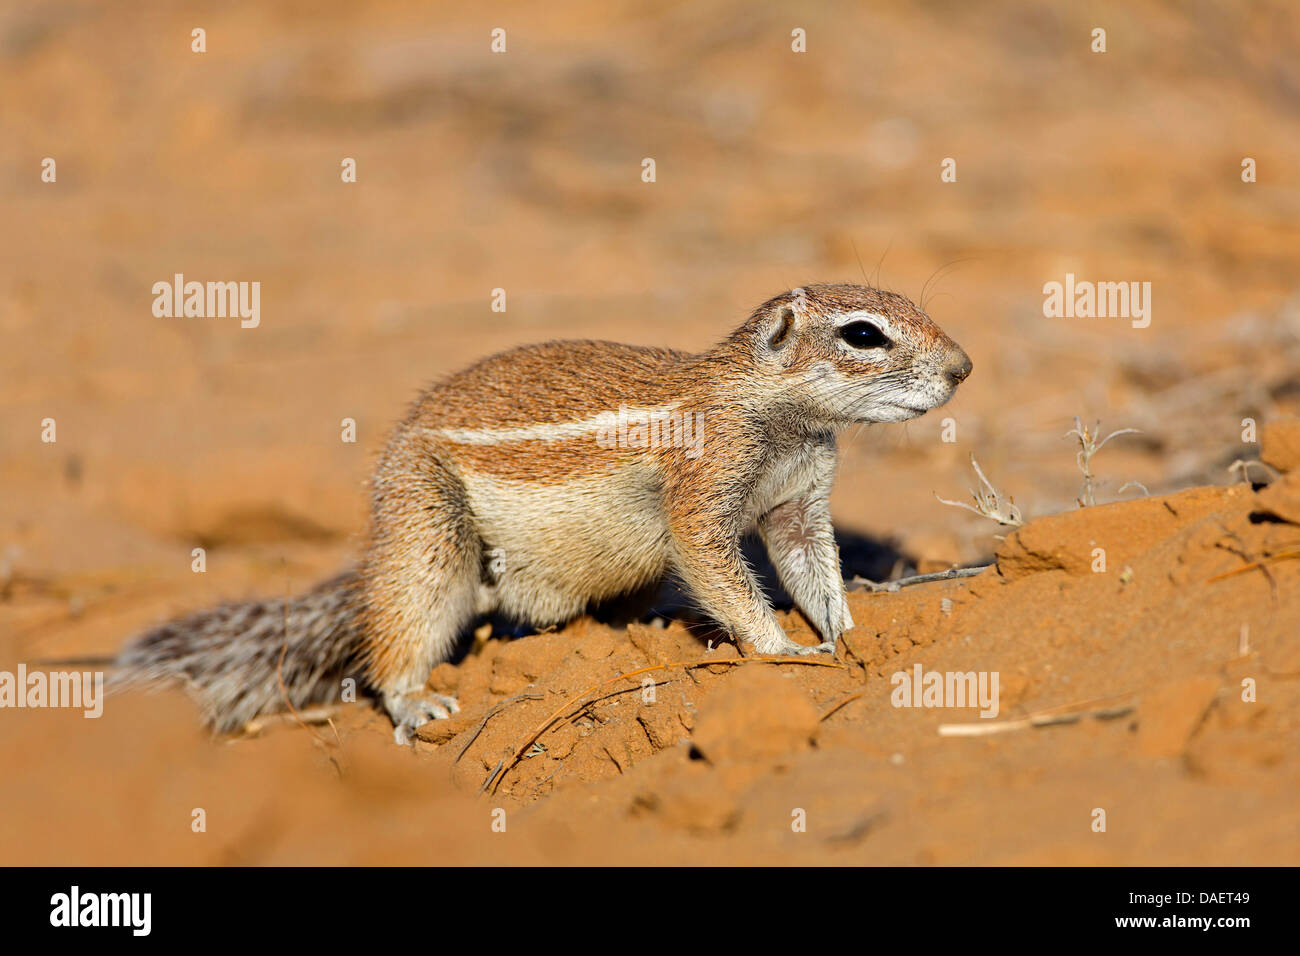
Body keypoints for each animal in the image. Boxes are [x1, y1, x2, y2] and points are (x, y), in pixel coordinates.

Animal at [115, 283, 972, 744]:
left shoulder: (799, 500)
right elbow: (716, 566)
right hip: (427, 525)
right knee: (402, 624)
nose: (963, 368)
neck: (775, 413)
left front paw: (848, 633)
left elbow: (810, 566)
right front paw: (782, 649)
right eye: (864, 334)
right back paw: (417, 698)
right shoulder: (704, 485)